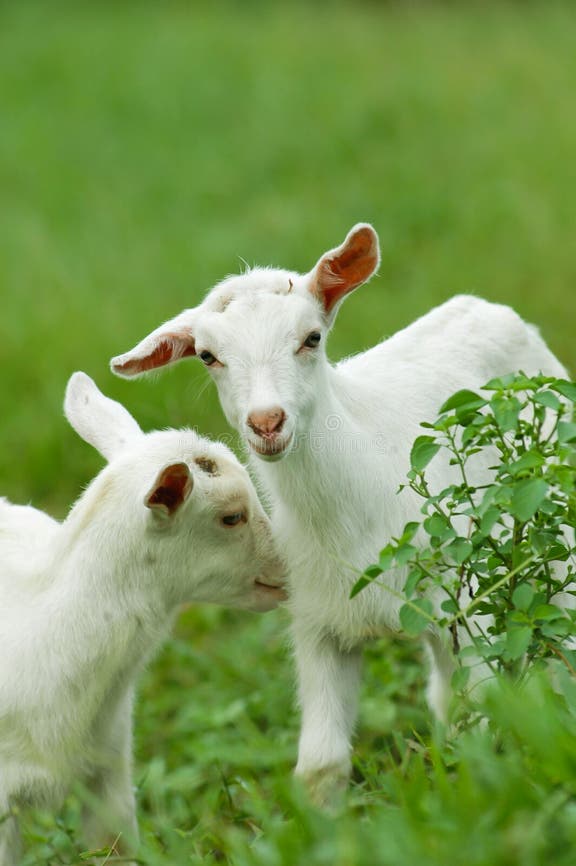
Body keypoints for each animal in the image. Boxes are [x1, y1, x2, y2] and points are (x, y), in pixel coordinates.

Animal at [111, 224, 568, 802]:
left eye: (312, 338)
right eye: (208, 356)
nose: (266, 423)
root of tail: (488, 308)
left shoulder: (469, 610)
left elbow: (485, 711)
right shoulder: (316, 621)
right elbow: (321, 764)